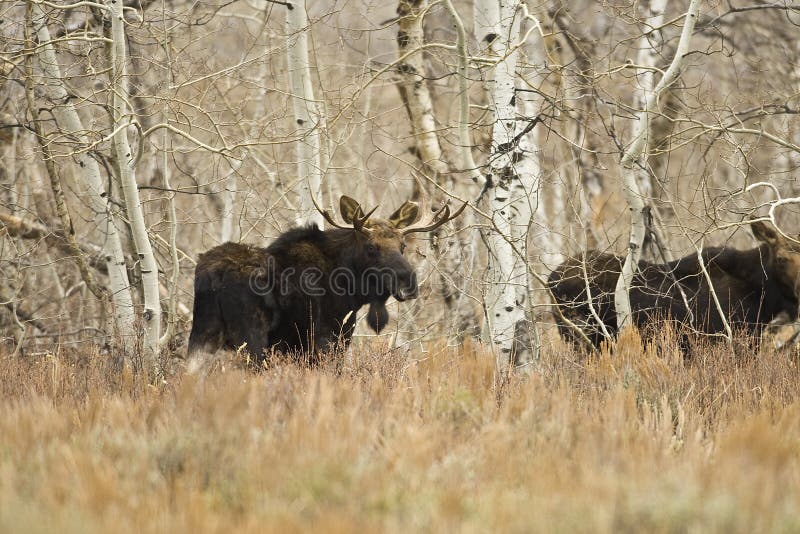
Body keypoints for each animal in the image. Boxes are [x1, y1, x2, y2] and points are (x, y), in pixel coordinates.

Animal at [187, 194, 465, 362]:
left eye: (402, 246)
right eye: (371, 247)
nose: (408, 284)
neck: (352, 292)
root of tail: (214, 274)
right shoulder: (327, 340)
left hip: (201, 334)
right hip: (251, 339)